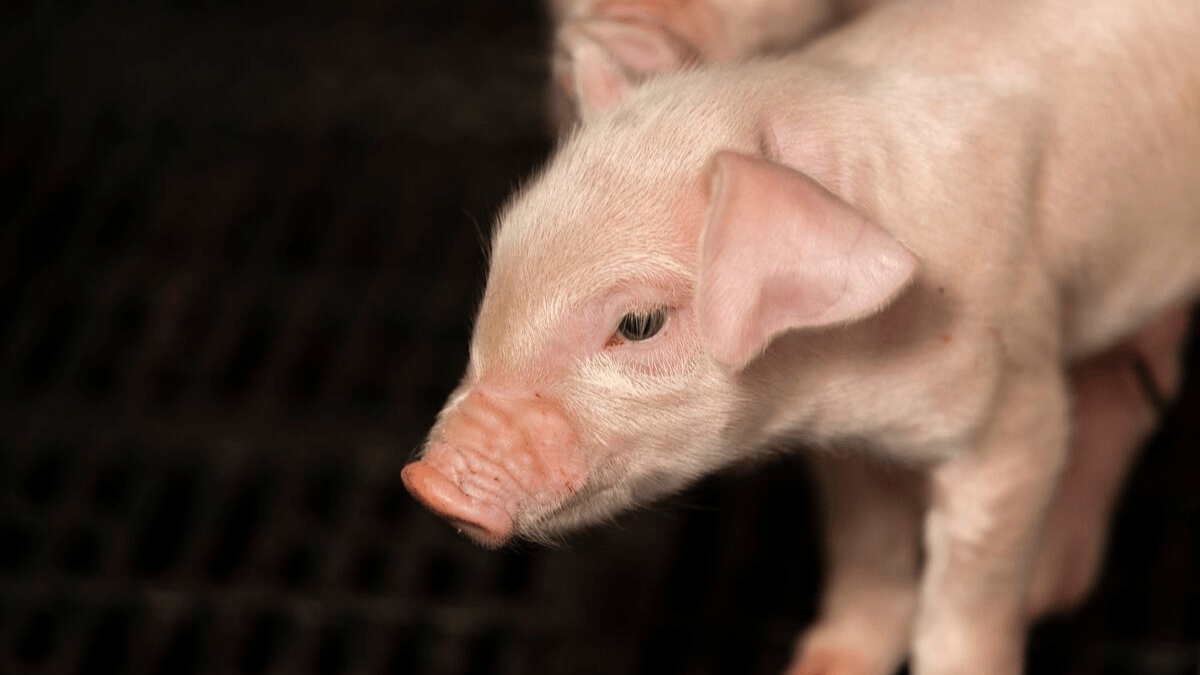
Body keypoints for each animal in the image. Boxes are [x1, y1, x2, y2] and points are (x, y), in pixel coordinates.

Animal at [403, 0, 1200, 672]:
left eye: (639, 323)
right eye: (501, 270)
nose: (429, 482)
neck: (857, 374)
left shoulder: (1014, 408)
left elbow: (966, 601)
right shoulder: (849, 448)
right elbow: (869, 552)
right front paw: (818, 666)